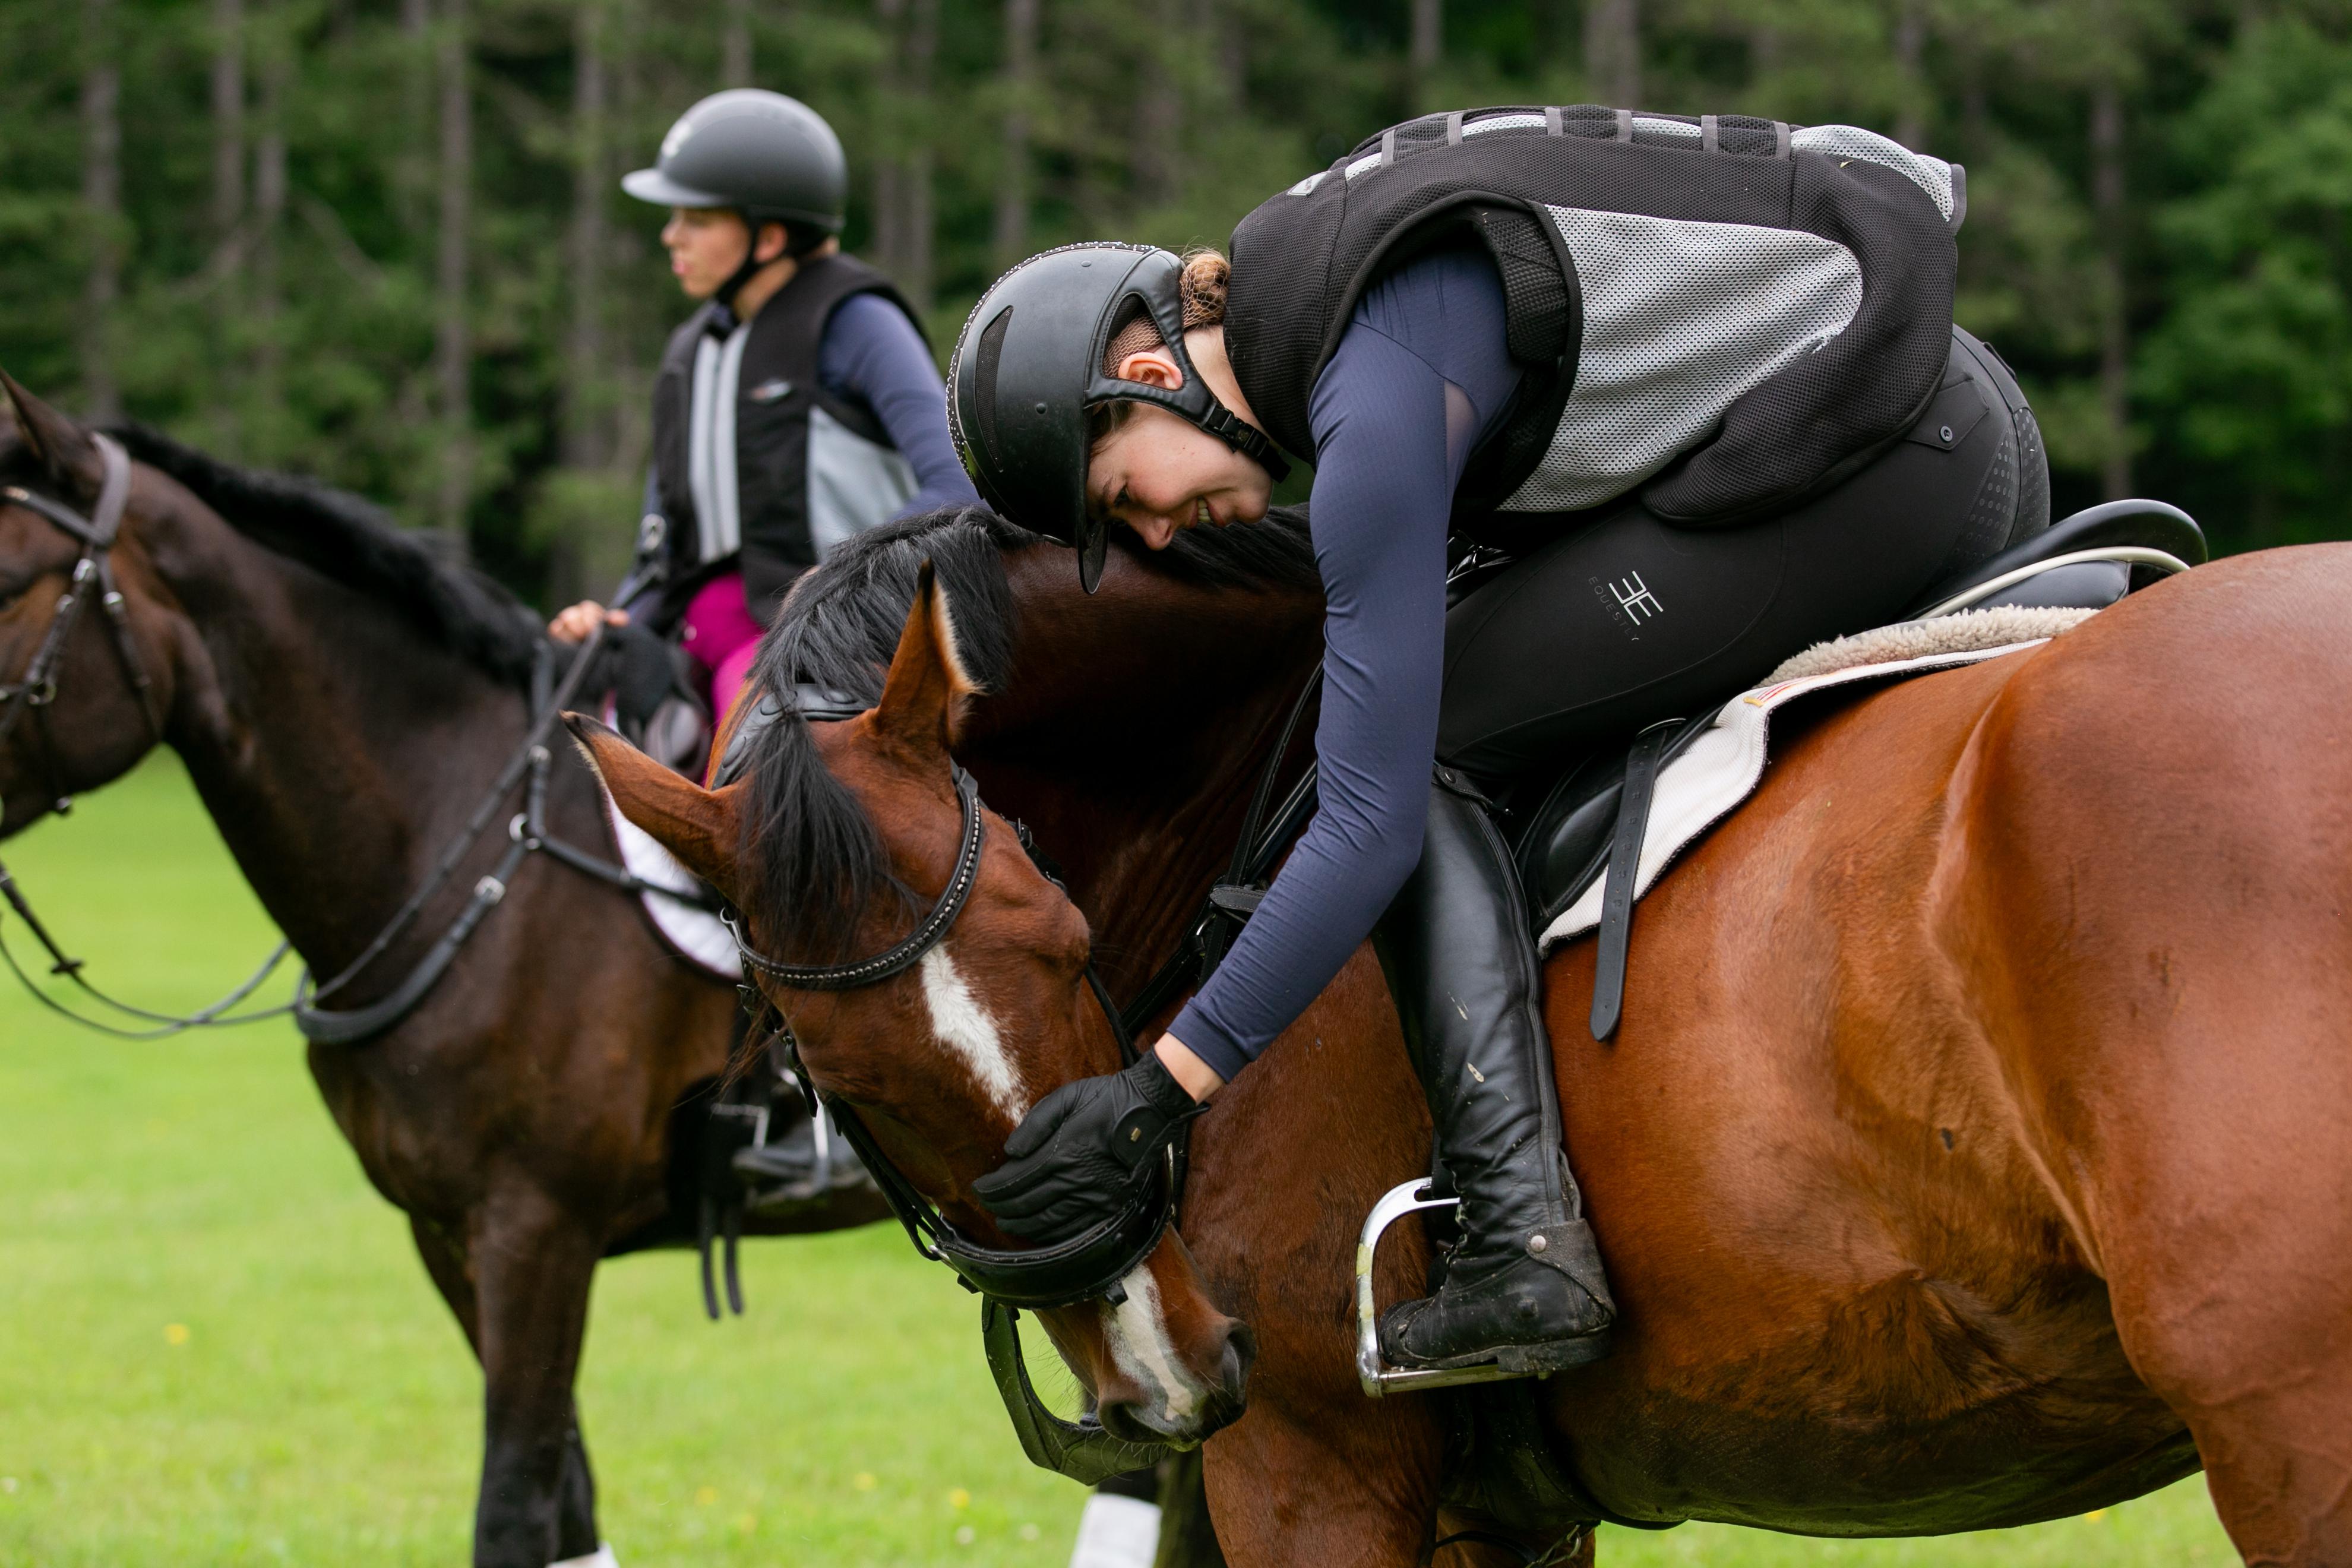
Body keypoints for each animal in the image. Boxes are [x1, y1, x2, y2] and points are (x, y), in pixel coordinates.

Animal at [0, 376, 887, 1568]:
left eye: (10, 582)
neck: (467, 853)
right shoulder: (449, 1237)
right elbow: (568, 1504)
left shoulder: (536, 1233)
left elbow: (511, 1506)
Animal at [582, 503, 2352, 1567]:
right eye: (837, 1076)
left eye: (1061, 944)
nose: (1164, 1361)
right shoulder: (1487, 1512)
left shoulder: (1313, 1470)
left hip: (2290, 1419)